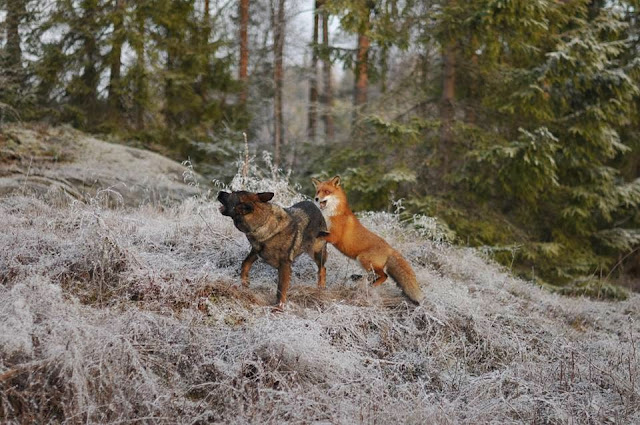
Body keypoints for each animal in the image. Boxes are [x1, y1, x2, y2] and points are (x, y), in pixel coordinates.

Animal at [312, 176, 425, 304]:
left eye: (327, 192)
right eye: (318, 191)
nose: (316, 199)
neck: (332, 214)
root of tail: (390, 248)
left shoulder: (334, 236)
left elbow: (319, 234)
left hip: (363, 259)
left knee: (384, 276)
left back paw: (371, 284)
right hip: (365, 263)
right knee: (374, 275)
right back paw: (360, 279)